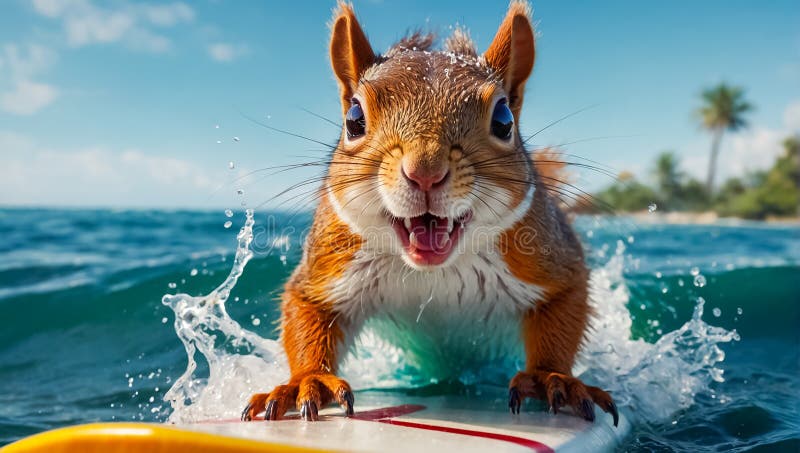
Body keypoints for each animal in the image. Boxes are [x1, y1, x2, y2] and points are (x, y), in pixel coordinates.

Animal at [242, 1, 618, 426]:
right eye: (354, 119)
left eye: (504, 120)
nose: (425, 171)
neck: (434, 273)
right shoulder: (332, 261)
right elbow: (307, 308)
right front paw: (308, 381)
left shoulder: (546, 259)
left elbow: (564, 306)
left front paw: (549, 377)